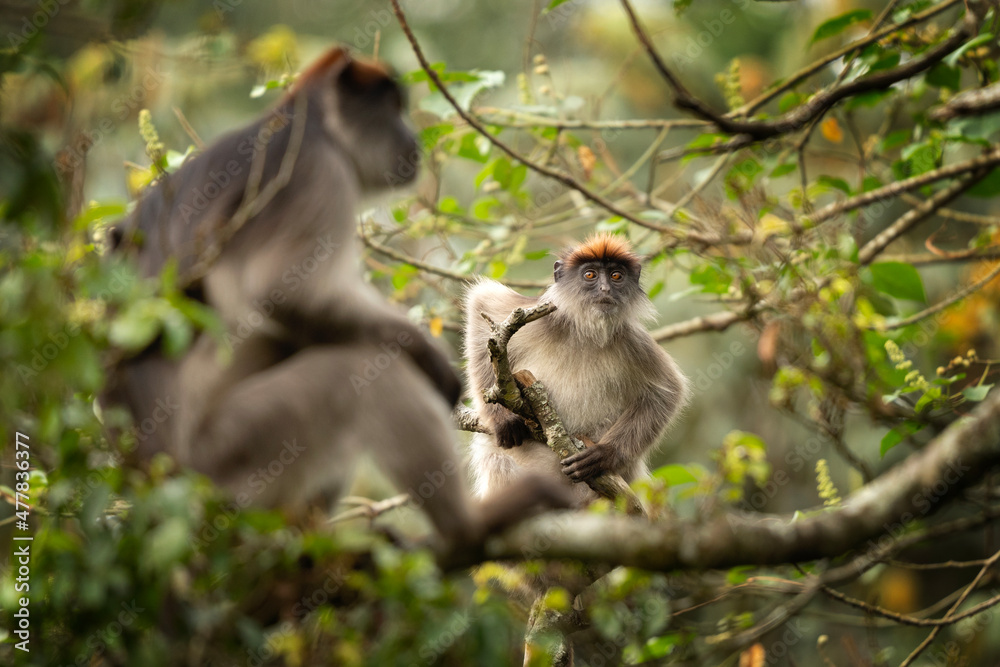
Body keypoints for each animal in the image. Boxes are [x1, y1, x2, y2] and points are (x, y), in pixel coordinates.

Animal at [103, 46, 571, 555]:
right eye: (391, 110)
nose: (411, 139)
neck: (304, 121)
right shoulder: (316, 169)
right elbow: (283, 293)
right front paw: (429, 358)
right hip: (227, 459)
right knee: (361, 368)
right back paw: (465, 529)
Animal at [464, 233, 690, 507]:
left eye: (616, 276)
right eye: (590, 274)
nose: (605, 290)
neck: (583, 331)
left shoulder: (632, 340)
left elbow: (668, 390)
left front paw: (605, 455)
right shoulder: (535, 315)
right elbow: (482, 305)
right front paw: (502, 418)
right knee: (496, 457)